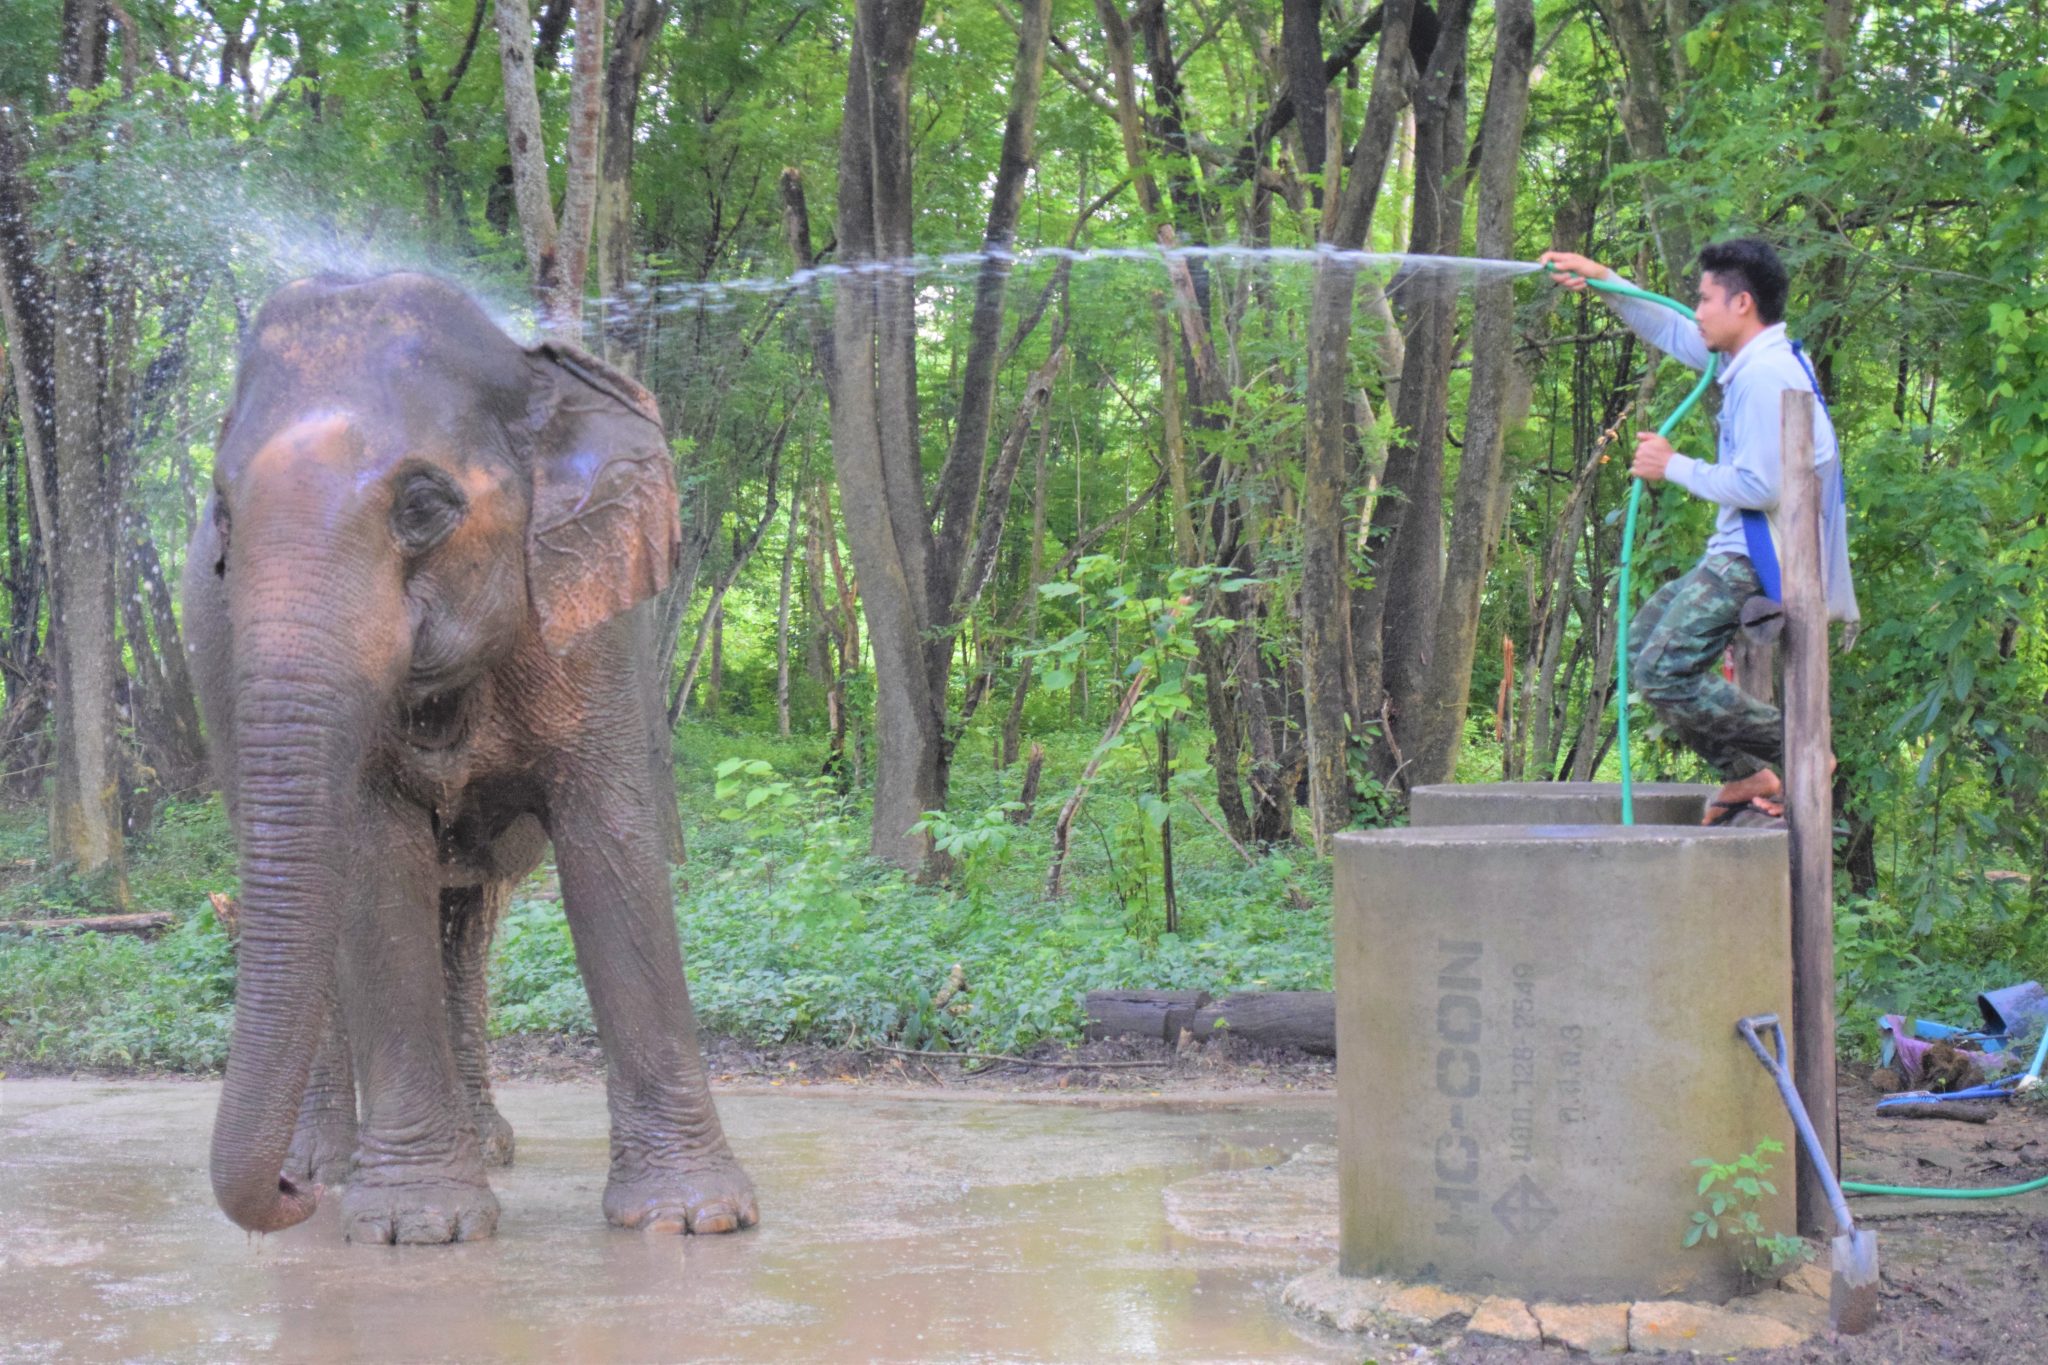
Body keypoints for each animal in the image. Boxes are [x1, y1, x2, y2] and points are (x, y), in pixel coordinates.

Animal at [181, 272, 757, 1245]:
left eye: (422, 505)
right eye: (226, 517)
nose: (285, 1200)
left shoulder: (593, 627)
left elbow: (612, 850)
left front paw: (694, 1219)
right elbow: (375, 864)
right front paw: (417, 1224)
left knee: (467, 919)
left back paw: (476, 1147)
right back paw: (331, 1164)